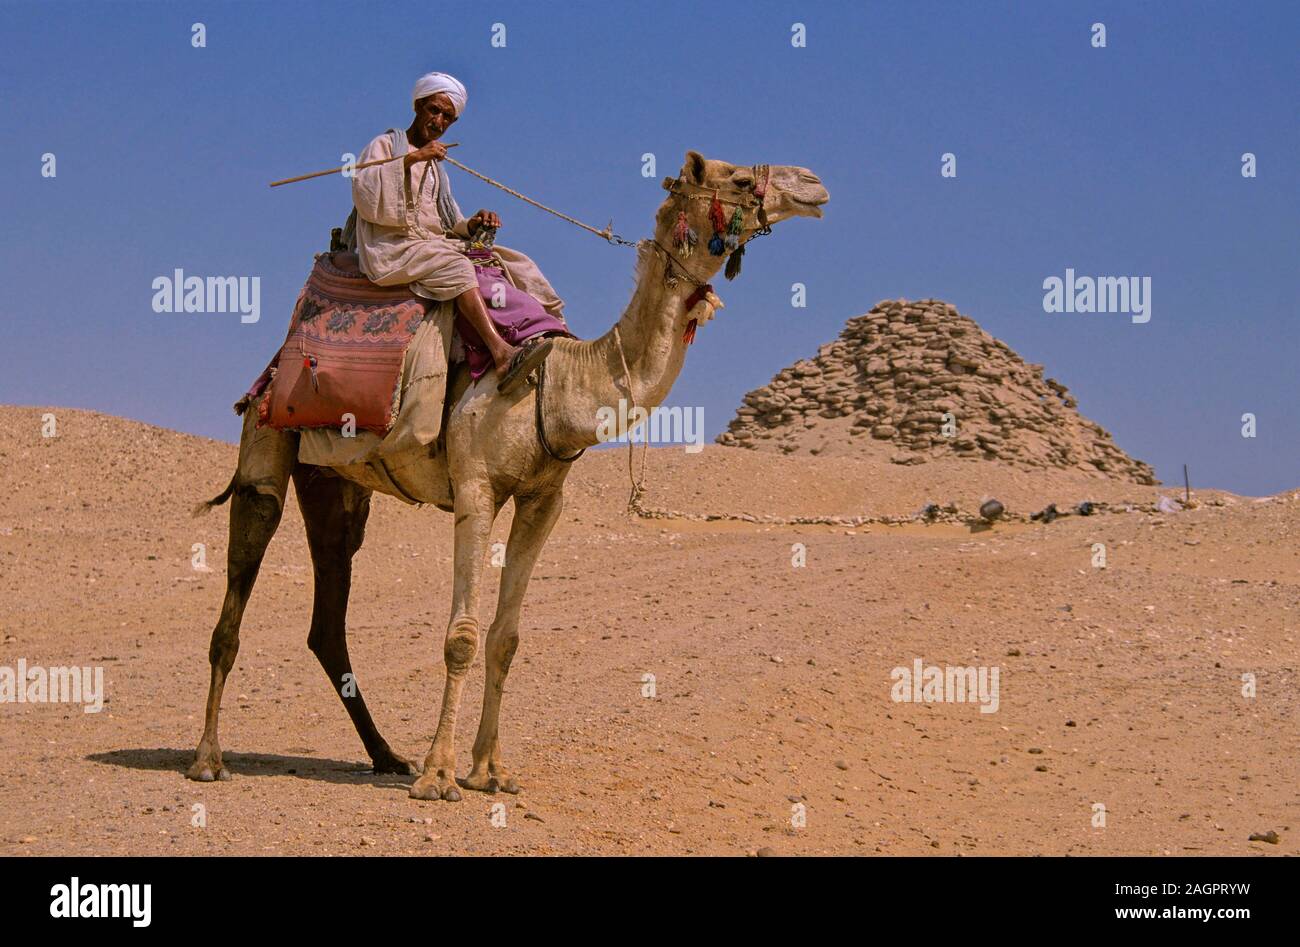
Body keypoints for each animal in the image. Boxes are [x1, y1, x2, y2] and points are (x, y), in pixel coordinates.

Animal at [187, 150, 828, 800]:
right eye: (741, 179)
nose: (814, 184)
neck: (557, 385)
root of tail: (273, 367)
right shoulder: (477, 489)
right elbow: (462, 636)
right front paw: (440, 775)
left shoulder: (543, 501)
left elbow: (505, 638)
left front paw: (488, 771)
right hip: (267, 442)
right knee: (242, 578)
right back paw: (209, 758)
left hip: (335, 484)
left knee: (328, 620)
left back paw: (387, 755)